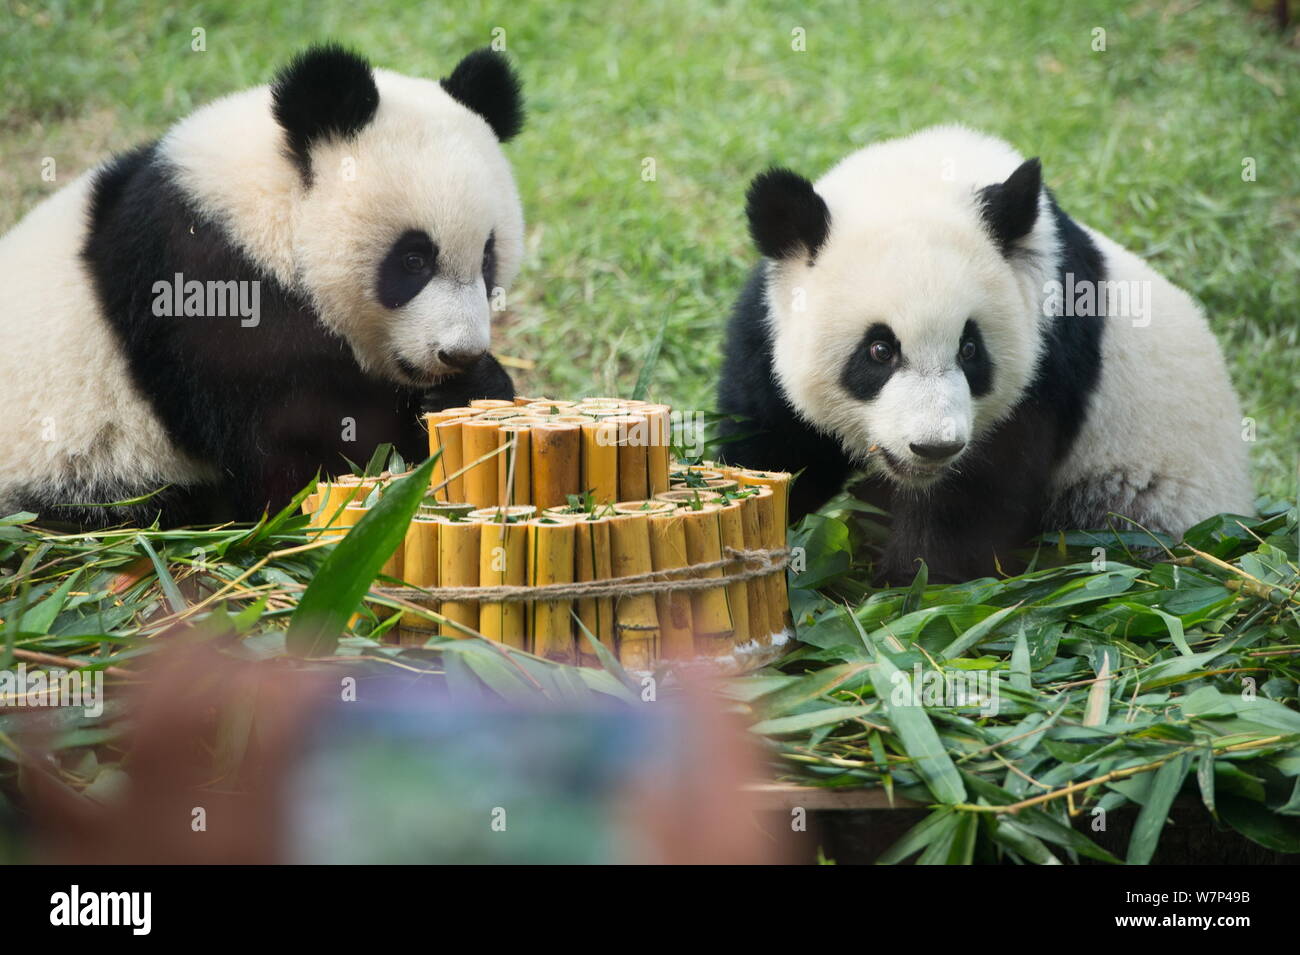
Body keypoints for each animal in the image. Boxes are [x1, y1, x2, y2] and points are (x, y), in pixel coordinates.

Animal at [0, 44, 525, 528]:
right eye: (413, 260)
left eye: (487, 258)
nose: (458, 353)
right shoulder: (206, 287)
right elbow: (308, 448)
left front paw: (472, 389)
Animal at [718, 124, 1254, 583]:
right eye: (879, 350)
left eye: (970, 349)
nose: (933, 447)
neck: (925, 175)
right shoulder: (769, 322)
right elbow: (776, 443)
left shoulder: (1047, 351)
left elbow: (976, 500)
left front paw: (899, 592)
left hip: (1139, 491)